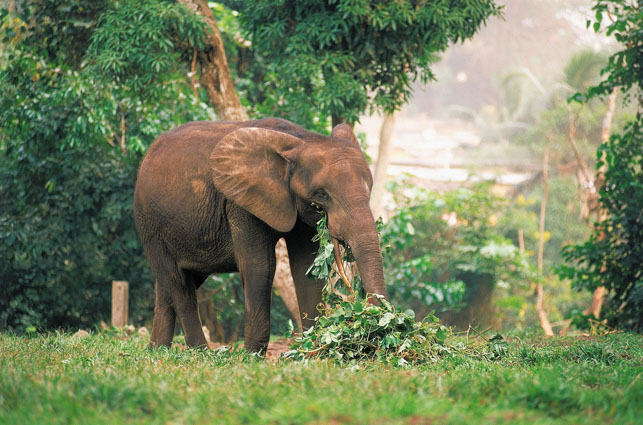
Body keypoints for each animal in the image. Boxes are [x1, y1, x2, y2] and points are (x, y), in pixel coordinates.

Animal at [133, 118, 387, 353]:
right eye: (322, 195)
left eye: (369, 189)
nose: (376, 327)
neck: (301, 140)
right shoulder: (240, 200)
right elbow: (260, 266)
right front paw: (251, 356)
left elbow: (305, 268)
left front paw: (314, 349)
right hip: (150, 223)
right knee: (178, 283)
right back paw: (201, 353)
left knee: (170, 286)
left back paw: (157, 351)